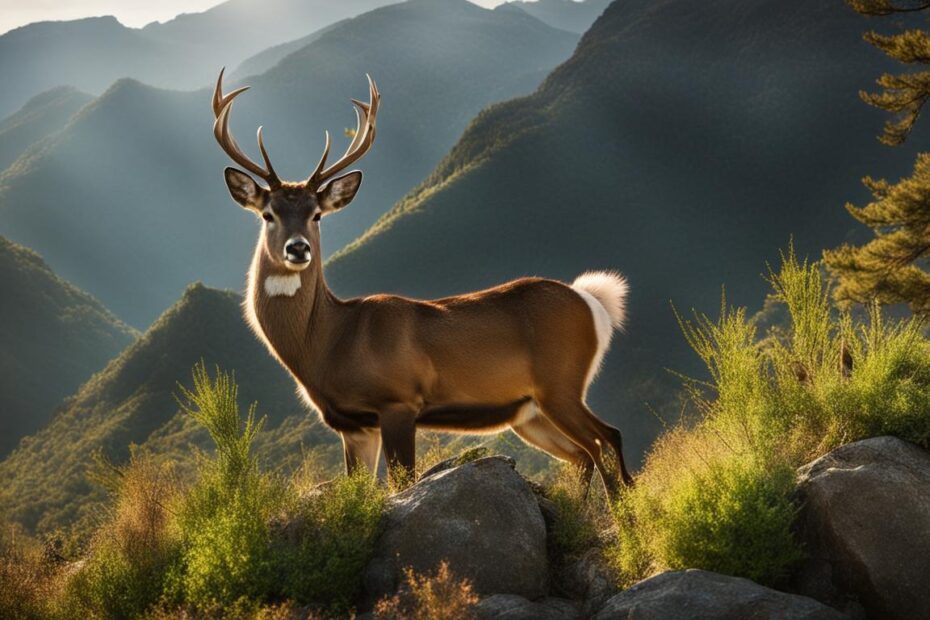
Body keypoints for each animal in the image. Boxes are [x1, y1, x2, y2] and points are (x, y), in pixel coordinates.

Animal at [211, 69, 634, 496]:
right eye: (268, 213)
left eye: (317, 214)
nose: (298, 248)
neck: (330, 343)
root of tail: (592, 300)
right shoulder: (354, 426)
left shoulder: (398, 400)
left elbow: (402, 483)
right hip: (529, 411)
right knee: (583, 454)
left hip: (561, 382)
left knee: (605, 439)